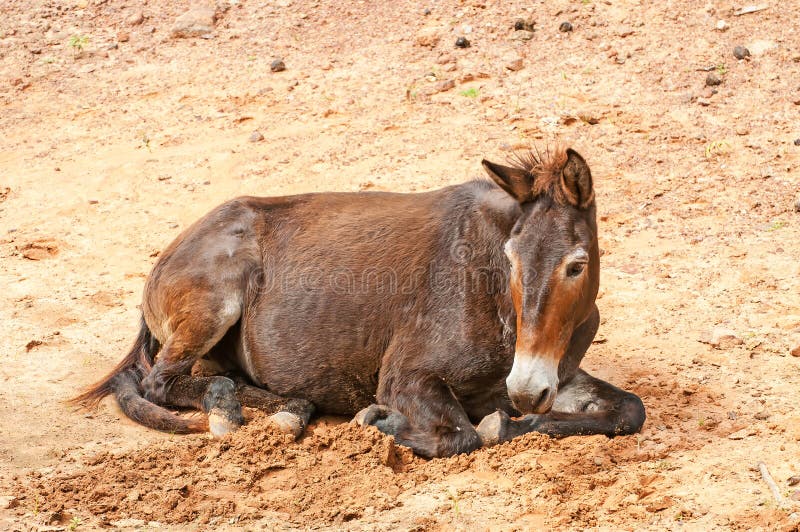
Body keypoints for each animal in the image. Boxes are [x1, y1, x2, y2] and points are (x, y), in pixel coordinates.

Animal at [72, 147, 645, 458]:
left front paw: (524, 422)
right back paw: (232, 411)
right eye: (511, 257)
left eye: (576, 265)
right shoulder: (408, 376)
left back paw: (281, 412)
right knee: (160, 382)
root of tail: (170, 251)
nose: (524, 391)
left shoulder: (555, 375)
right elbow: (462, 435)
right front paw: (381, 422)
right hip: (212, 309)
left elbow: (627, 410)